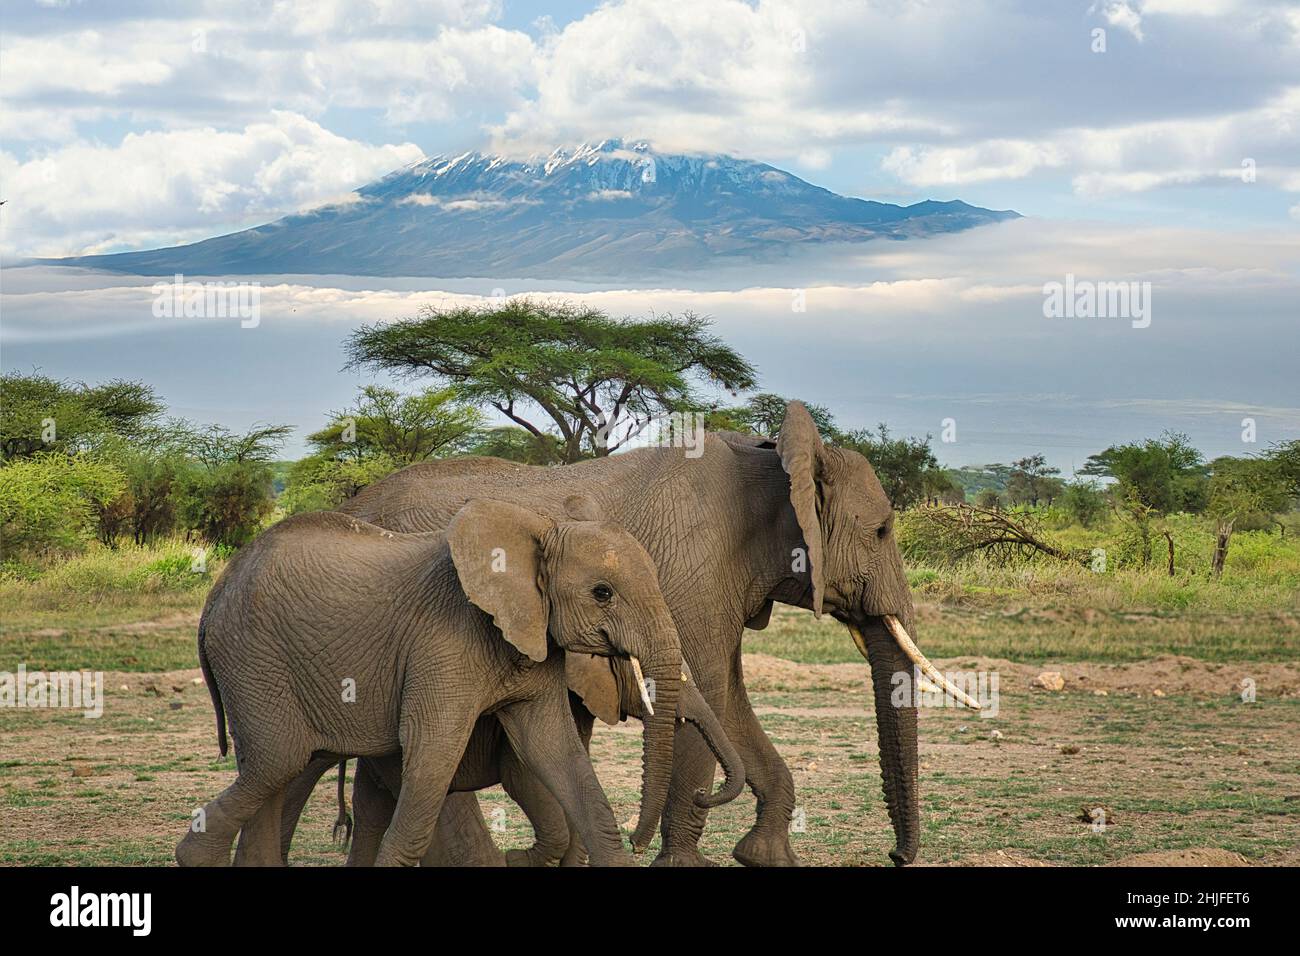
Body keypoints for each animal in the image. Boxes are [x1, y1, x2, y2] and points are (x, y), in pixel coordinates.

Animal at [177, 499, 725, 867]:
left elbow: (554, 751)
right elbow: (434, 751)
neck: (538, 530)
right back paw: (193, 854)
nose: (640, 839)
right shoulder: (443, 643)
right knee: (278, 760)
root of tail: (215, 592)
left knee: (281, 769)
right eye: (603, 592)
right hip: (252, 658)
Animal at [270, 401, 978, 866]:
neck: (777, 460)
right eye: (882, 531)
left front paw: (765, 855)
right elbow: (703, 694)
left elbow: (729, 700)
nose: (897, 857)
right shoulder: (695, 575)